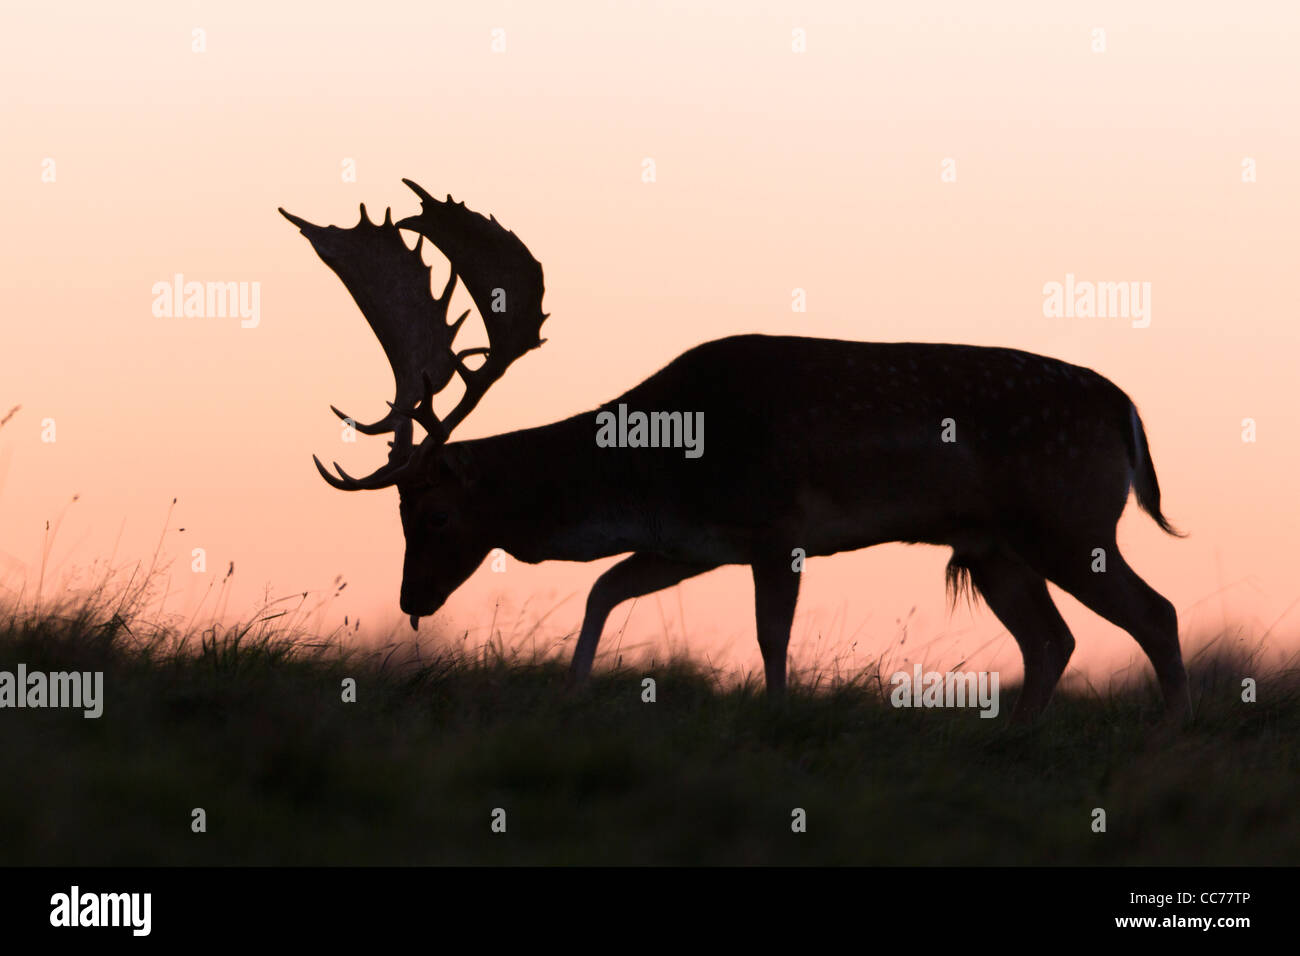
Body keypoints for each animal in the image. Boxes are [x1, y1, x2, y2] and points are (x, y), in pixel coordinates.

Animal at [280, 181, 1191, 723]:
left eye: (433, 512)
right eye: (400, 513)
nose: (412, 600)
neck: (651, 464)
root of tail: (1125, 409)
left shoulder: (774, 526)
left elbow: (769, 639)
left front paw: (778, 716)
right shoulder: (690, 543)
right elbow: (604, 592)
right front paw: (573, 690)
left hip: (1069, 520)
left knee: (1155, 613)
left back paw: (1173, 730)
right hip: (995, 546)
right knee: (1052, 641)